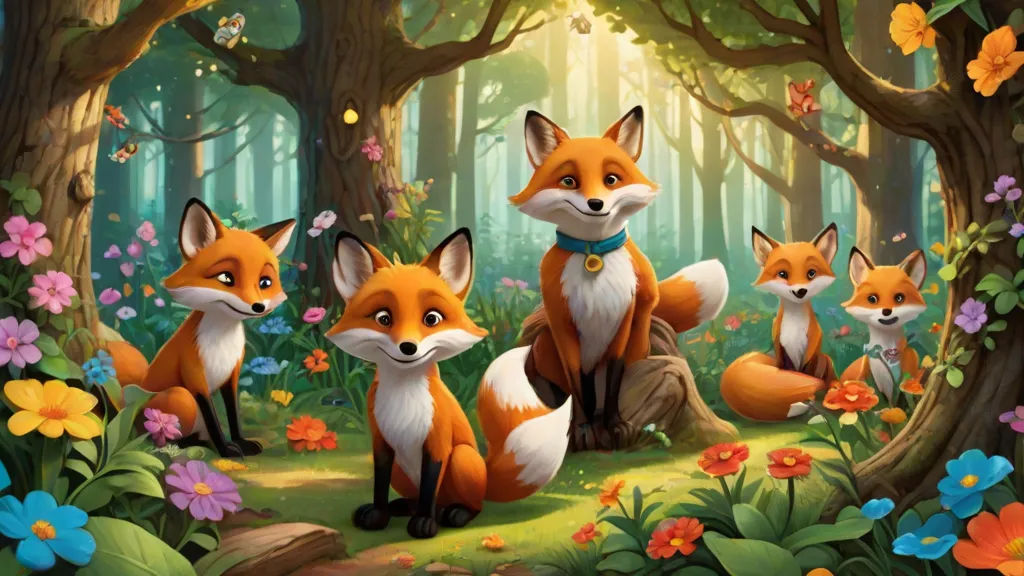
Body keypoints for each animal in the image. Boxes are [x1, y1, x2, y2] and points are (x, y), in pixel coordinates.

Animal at [112, 198, 296, 457]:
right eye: (226, 278)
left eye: (265, 282)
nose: (258, 306)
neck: (222, 341)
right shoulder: (194, 376)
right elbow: (214, 420)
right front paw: (226, 449)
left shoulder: (231, 375)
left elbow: (233, 414)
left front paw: (240, 442)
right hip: (180, 398)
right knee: (158, 437)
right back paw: (185, 444)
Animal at [326, 228, 571, 539]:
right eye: (383, 318)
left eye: (432, 318)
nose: (408, 347)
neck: (403, 398)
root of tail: (486, 475)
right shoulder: (381, 443)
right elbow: (379, 485)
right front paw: (379, 515)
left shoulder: (438, 443)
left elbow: (430, 486)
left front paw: (424, 524)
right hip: (403, 469)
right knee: (418, 497)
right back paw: (403, 506)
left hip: (462, 458)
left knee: (470, 505)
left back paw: (453, 513)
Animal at [506, 106, 728, 449]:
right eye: (569, 180)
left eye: (611, 179)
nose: (595, 204)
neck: (593, 257)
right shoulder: (563, 327)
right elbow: (577, 388)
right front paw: (582, 429)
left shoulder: (623, 320)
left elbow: (614, 379)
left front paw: (614, 425)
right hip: (544, 347)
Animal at [720, 224, 839, 421]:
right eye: (783, 274)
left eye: (811, 273)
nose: (800, 291)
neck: (795, 327)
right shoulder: (782, 350)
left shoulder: (812, 348)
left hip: (825, 360)